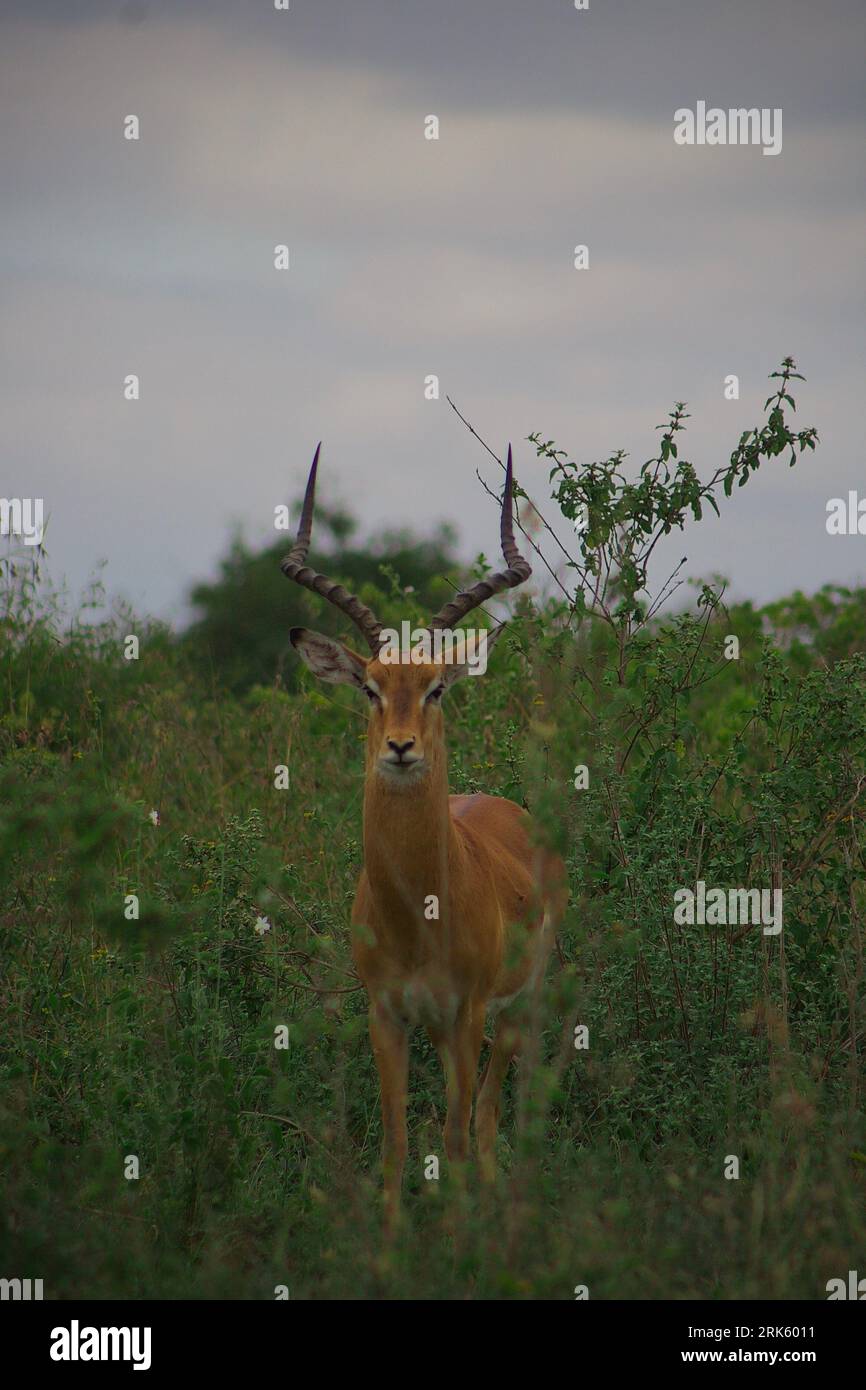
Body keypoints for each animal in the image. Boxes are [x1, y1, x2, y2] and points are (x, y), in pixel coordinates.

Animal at [282, 444, 566, 1226]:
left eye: (437, 686)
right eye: (370, 686)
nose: (401, 748)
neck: (417, 914)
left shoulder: (463, 1014)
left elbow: (455, 1133)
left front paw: (456, 1233)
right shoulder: (388, 1015)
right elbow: (397, 1138)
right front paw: (391, 1235)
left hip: (516, 1006)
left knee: (491, 1111)